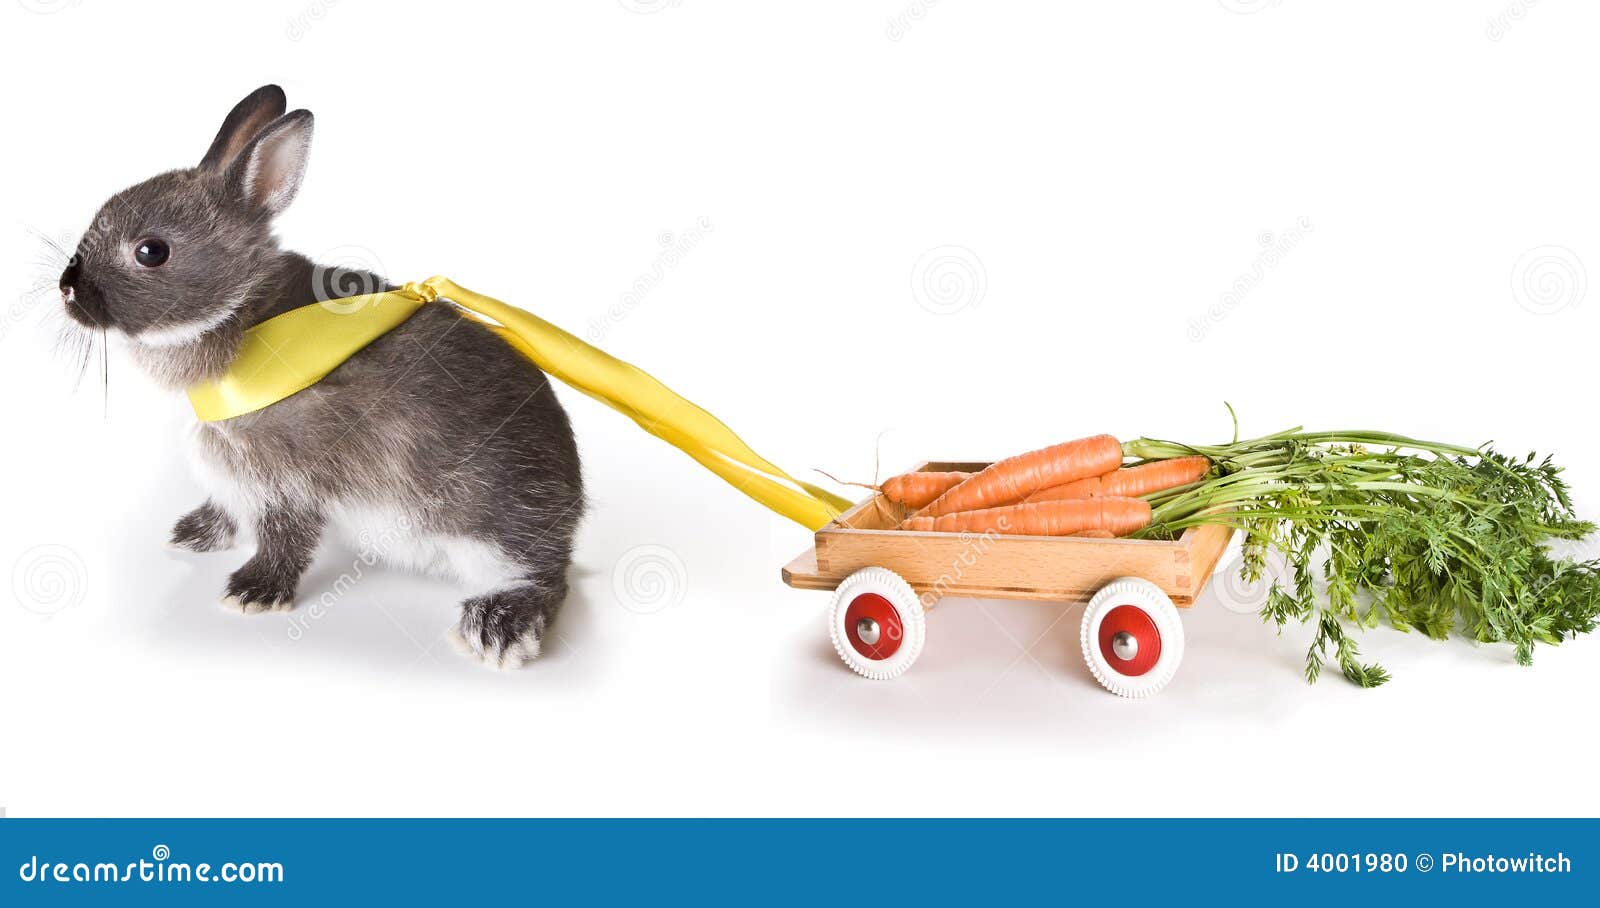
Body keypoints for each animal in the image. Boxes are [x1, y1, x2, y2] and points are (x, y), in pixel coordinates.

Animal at [57, 85, 585, 669]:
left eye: (151, 251)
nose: (66, 289)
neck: (245, 309)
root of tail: (571, 509)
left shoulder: (290, 475)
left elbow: (287, 534)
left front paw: (253, 591)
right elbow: (231, 510)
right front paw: (195, 533)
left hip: (490, 525)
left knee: (544, 577)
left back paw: (498, 628)